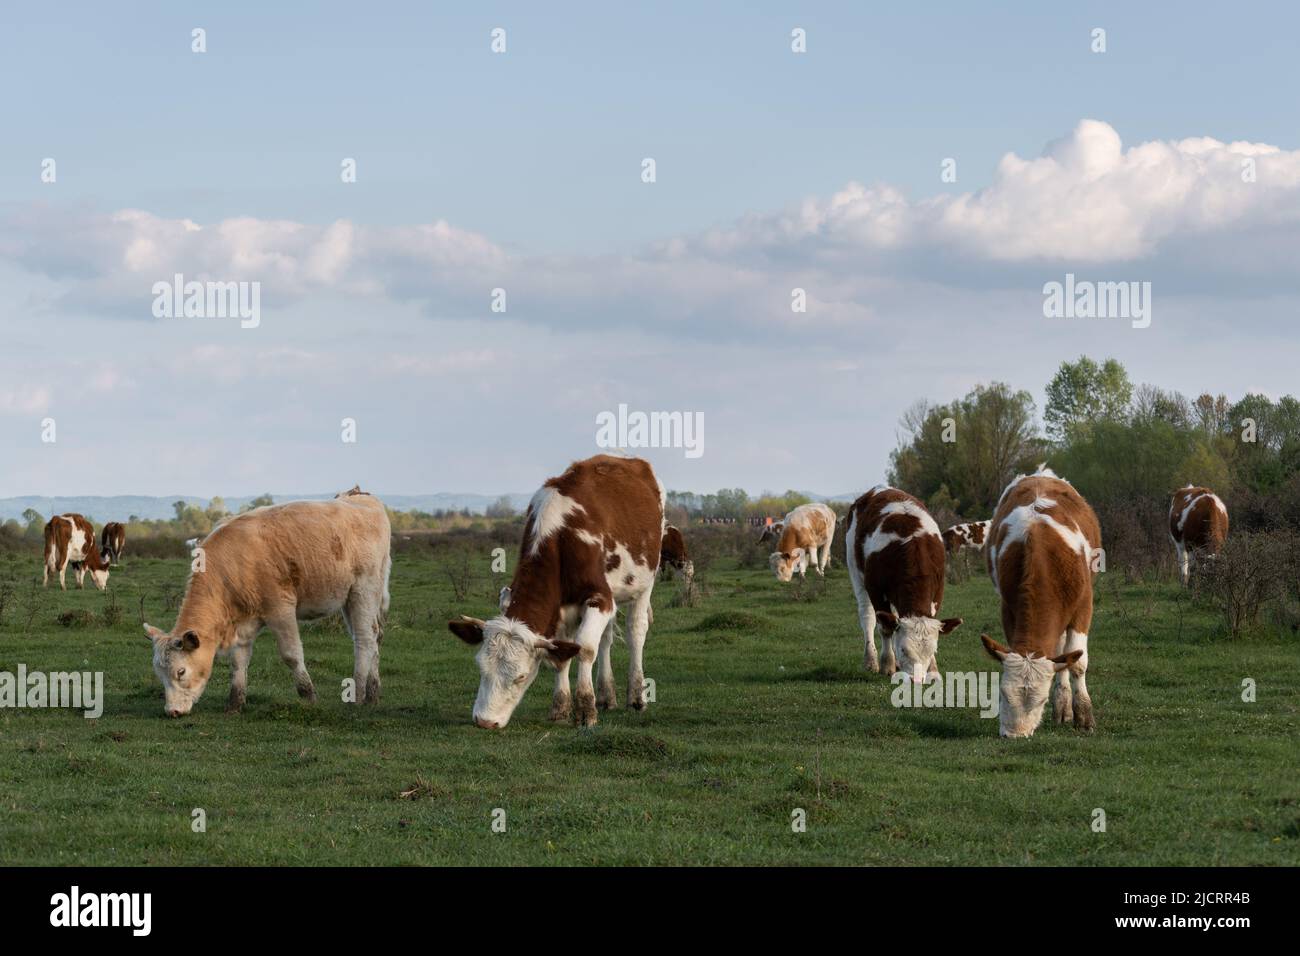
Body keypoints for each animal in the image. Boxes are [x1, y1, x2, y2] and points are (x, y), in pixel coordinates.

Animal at [142, 487, 391, 717]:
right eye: (159, 674)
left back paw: (357, 695)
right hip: (349, 598)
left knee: (365, 640)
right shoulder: (243, 623)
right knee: (373, 635)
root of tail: (360, 496)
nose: (172, 711)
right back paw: (372, 694)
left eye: (181, 672)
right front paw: (235, 704)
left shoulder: (281, 610)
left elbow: (291, 654)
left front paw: (308, 696)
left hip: (364, 590)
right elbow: (238, 661)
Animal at [447, 454, 664, 729]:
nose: (485, 721)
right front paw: (560, 709)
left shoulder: (599, 597)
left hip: (645, 582)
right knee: (606, 638)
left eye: (521, 677)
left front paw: (586, 710)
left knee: (636, 632)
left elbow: (584, 649)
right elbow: (562, 654)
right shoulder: (561, 607)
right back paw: (606, 696)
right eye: (480, 667)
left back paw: (636, 698)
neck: (558, 537)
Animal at [845, 486, 961, 679]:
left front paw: (933, 670)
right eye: (903, 650)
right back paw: (871, 660)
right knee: (867, 616)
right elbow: (885, 627)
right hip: (856, 571)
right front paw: (887, 664)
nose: (916, 679)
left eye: (933, 651)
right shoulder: (876, 588)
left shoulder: (938, 590)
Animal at [981, 466, 1101, 738]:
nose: (1014, 735)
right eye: (1003, 694)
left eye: (1041, 701)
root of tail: (1040, 474)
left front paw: (1084, 716)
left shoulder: (1083, 606)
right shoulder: (1008, 608)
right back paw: (1063, 708)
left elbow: (1078, 663)